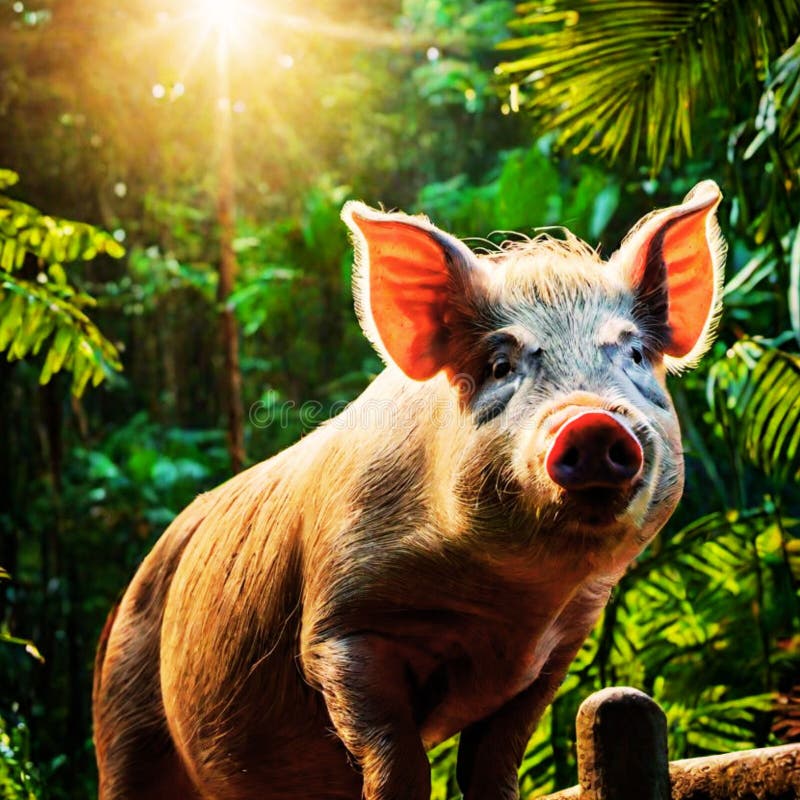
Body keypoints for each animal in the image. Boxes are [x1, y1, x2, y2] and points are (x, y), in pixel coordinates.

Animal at [92, 181, 725, 800]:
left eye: (635, 353)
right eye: (500, 364)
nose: (591, 423)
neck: (508, 608)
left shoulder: (554, 654)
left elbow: (495, 763)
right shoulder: (340, 626)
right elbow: (398, 759)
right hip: (125, 716)